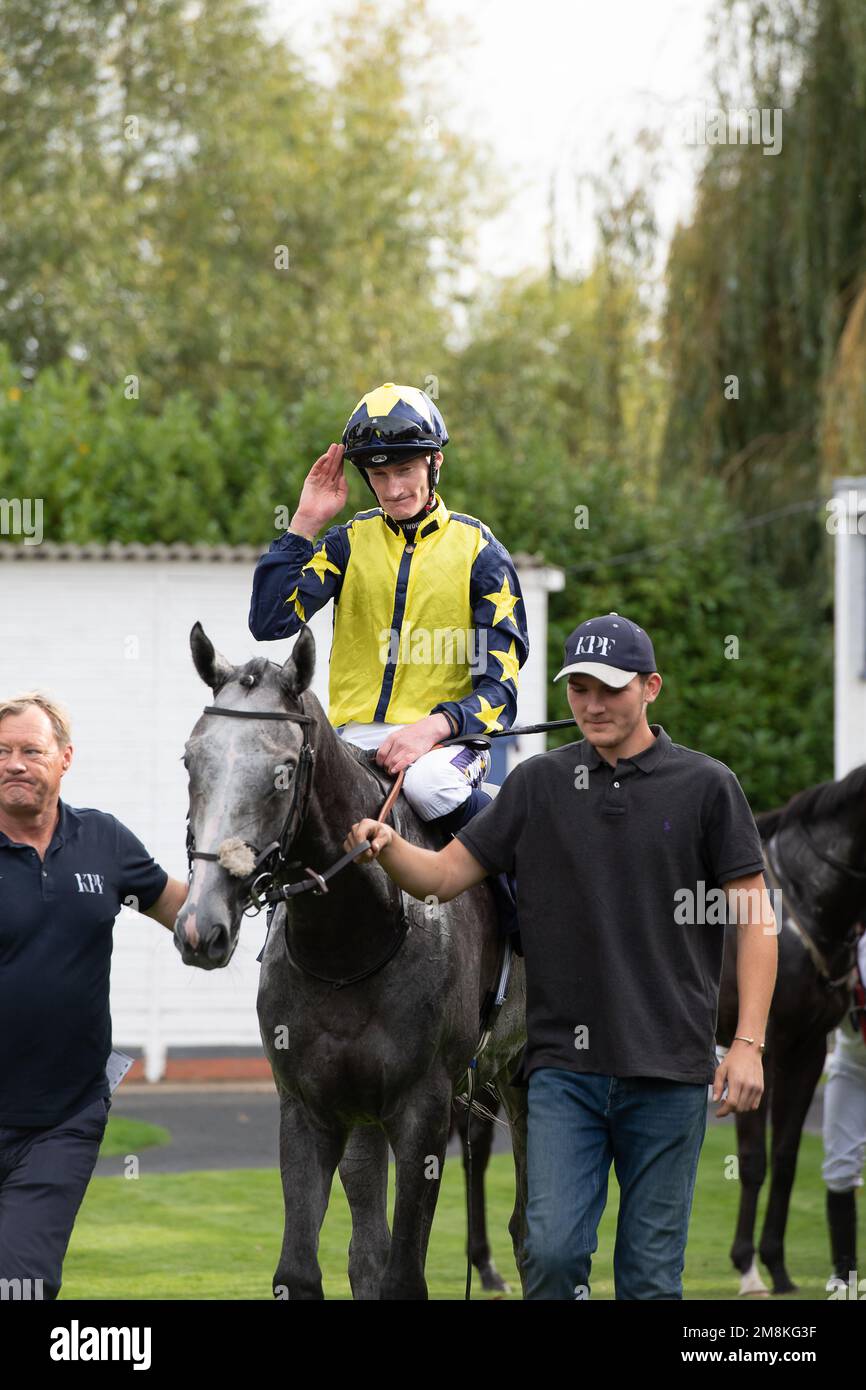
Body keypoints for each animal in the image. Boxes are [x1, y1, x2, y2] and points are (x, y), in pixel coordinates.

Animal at [174, 621, 528, 1299]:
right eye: (189, 760)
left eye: (285, 772)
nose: (201, 926)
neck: (354, 943)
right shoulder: (307, 1105)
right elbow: (302, 1269)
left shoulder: (423, 1109)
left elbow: (403, 1273)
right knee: (369, 1247)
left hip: (522, 1074)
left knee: (533, 1223)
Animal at [716, 762, 866, 1296]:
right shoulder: (758, 1050)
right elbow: (754, 1161)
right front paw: (747, 1267)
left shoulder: (807, 1051)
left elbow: (784, 1159)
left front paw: (777, 1266)